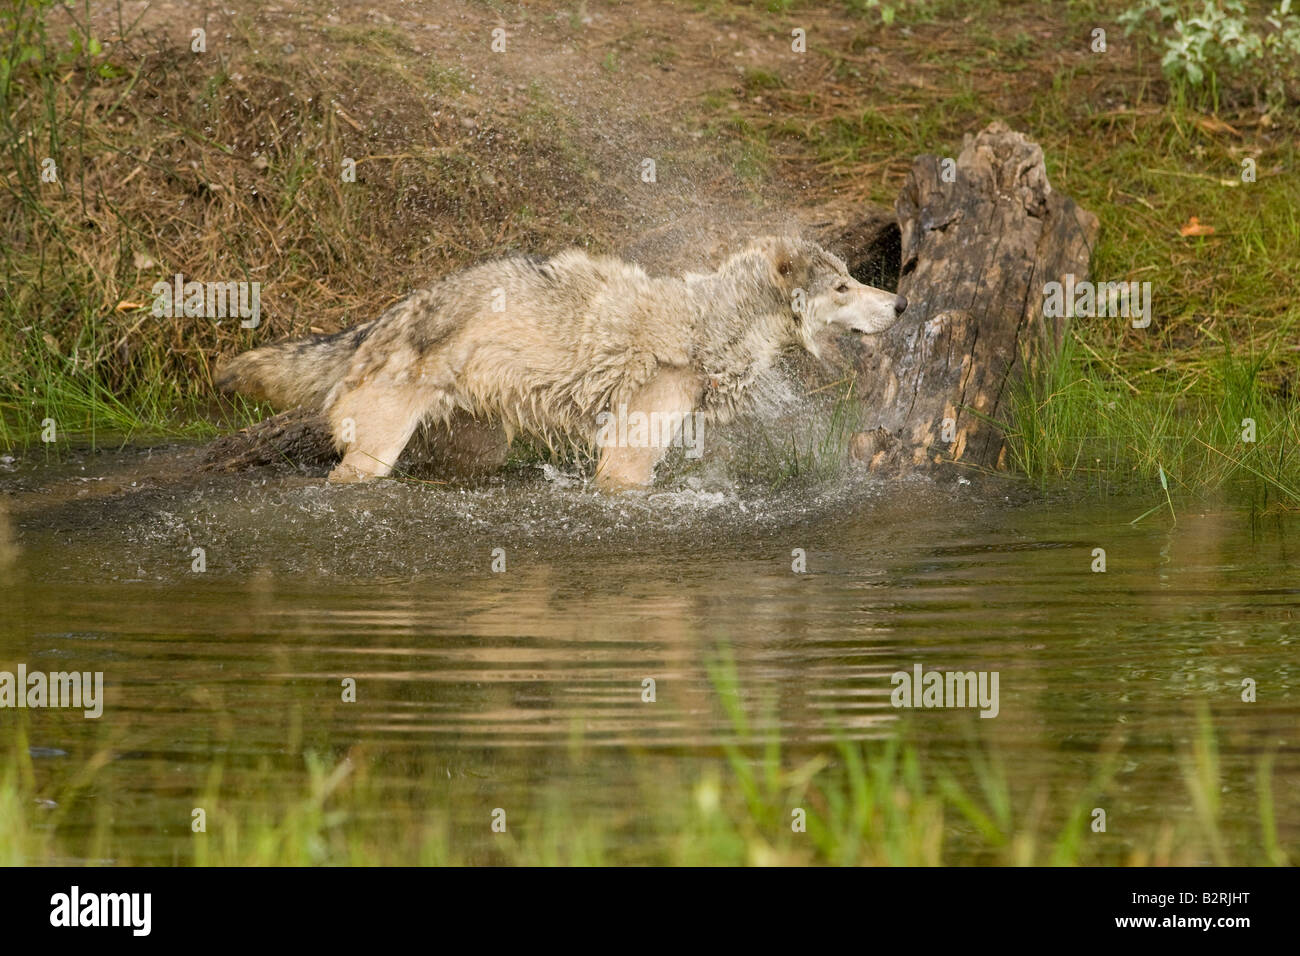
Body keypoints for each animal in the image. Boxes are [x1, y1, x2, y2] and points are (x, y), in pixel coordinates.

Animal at [215, 236, 908, 488]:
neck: (711, 326)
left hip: (474, 449)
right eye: (842, 287)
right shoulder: (626, 458)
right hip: (374, 455)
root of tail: (389, 315)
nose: (901, 302)